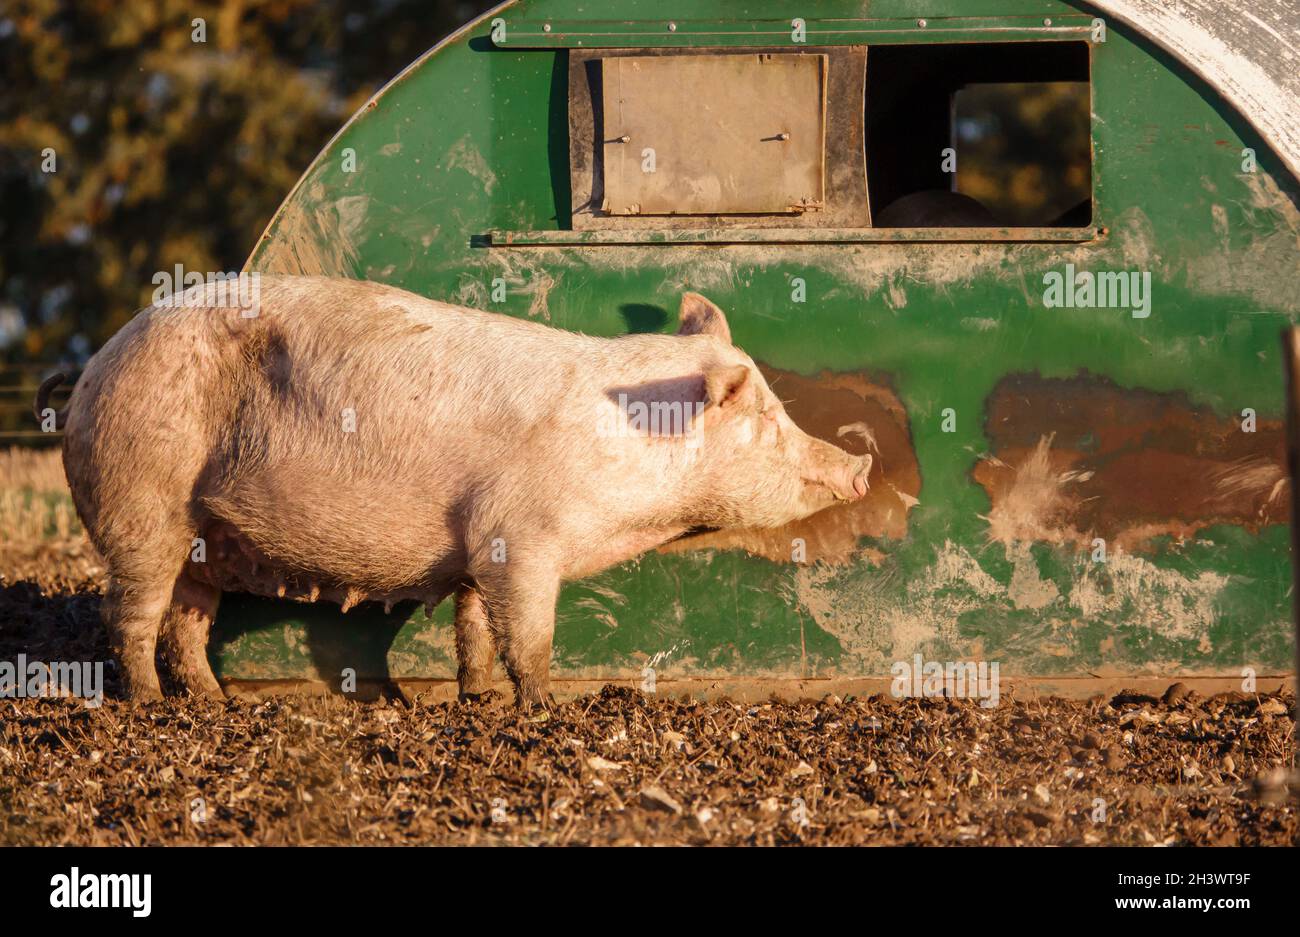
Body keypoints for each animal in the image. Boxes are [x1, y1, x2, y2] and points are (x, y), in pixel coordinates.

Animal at [36, 276, 873, 708]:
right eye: (768, 418)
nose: (859, 461)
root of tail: (93, 363)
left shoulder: (477, 544)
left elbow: (474, 628)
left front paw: (476, 702)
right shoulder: (524, 537)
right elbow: (528, 636)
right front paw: (543, 710)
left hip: (203, 533)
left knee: (186, 619)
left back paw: (215, 704)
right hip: (143, 499)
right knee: (131, 615)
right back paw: (151, 706)